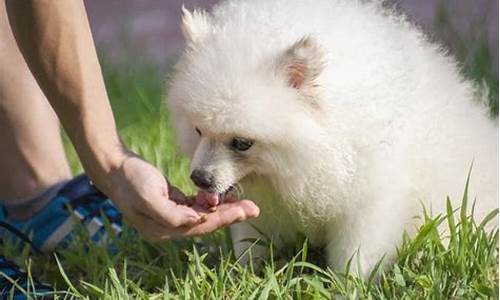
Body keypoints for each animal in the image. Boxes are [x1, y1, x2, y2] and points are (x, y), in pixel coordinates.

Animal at [169, 0, 500, 276]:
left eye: (242, 143)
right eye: (198, 130)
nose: (200, 178)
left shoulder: (370, 199)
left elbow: (357, 254)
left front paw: (347, 286)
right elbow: (250, 243)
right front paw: (240, 275)